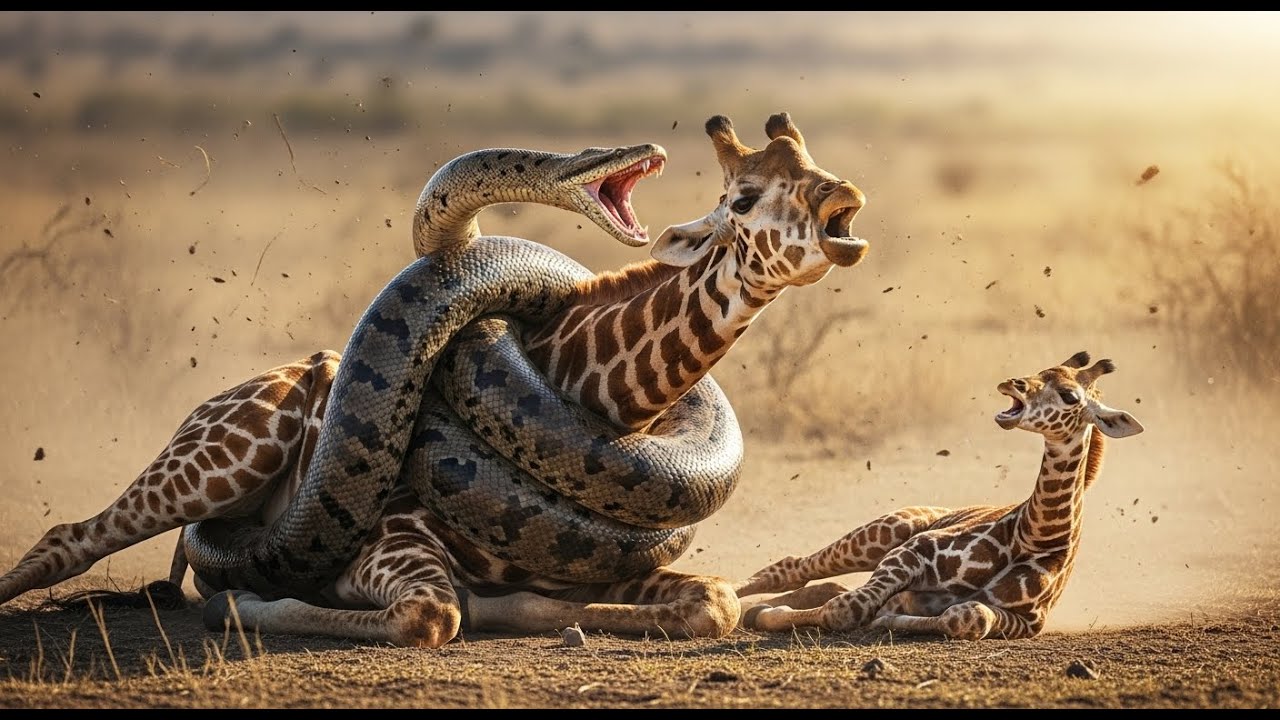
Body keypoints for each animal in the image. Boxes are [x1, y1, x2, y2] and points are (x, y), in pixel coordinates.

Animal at [0, 112, 869, 647]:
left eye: (819, 167)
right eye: (742, 198)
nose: (845, 197)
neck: (604, 396)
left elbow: (713, 603)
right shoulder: (389, 547)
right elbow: (425, 616)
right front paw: (244, 604)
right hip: (218, 459)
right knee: (68, 538)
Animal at [735, 351, 1144, 640]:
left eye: (1068, 394)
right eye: (1041, 370)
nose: (1012, 384)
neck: (1034, 533)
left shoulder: (1028, 620)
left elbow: (964, 616)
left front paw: (891, 616)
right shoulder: (913, 552)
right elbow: (848, 607)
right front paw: (763, 614)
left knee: (824, 583)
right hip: (886, 532)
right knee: (794, 567)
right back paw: (730, 595)